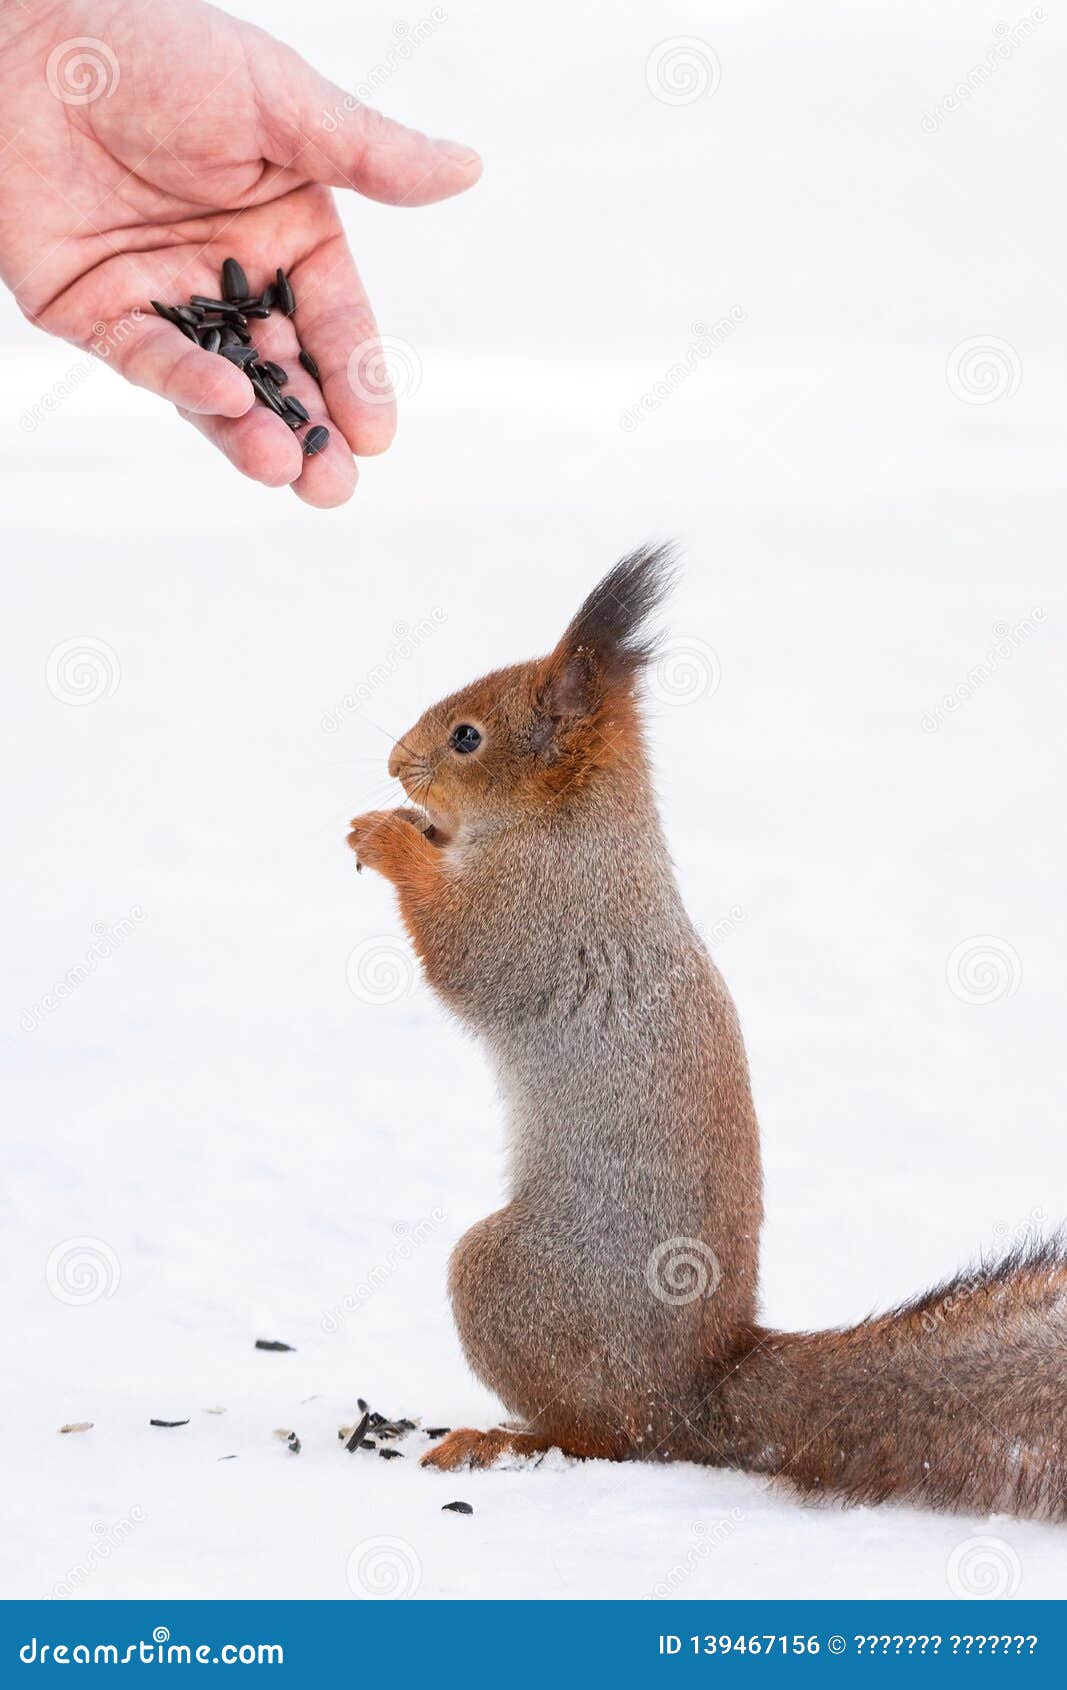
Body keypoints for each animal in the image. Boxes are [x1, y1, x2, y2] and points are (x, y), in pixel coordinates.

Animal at [347, 546, 1066, 1518]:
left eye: (466, 738)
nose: (395, 763)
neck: (572, 821)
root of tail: (693, 1393)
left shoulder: (536, 915)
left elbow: (461, 952)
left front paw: (386, 837)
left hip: (512, 1283)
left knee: (605, 1438)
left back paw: (498, 1440)